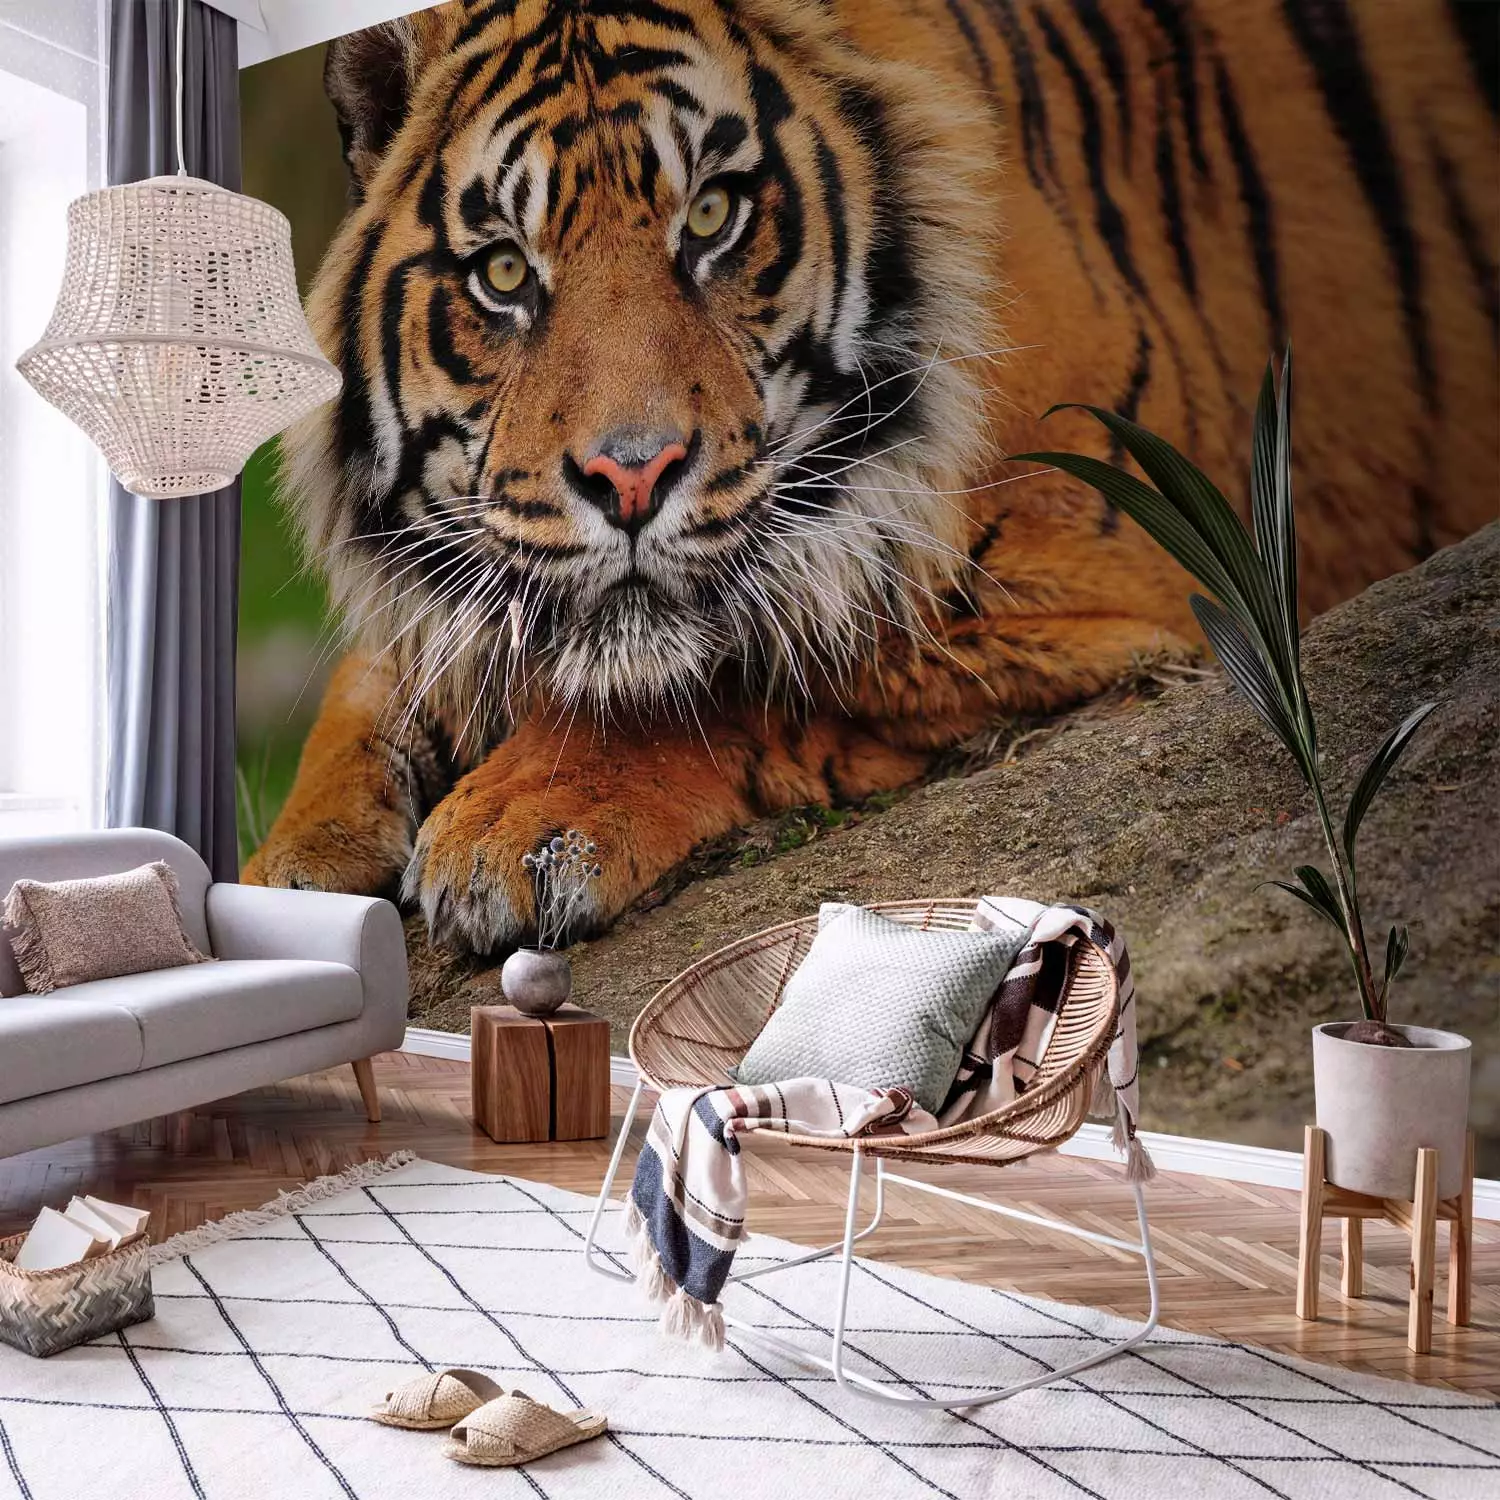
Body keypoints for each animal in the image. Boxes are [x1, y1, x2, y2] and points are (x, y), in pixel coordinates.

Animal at [243, 0, 1498, 954]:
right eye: (504, 272)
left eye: (713, 217)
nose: (629, 477)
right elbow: (375, 680)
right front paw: (288, 865)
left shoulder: (1125, 598)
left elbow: (749, 671)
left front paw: (516, 823)